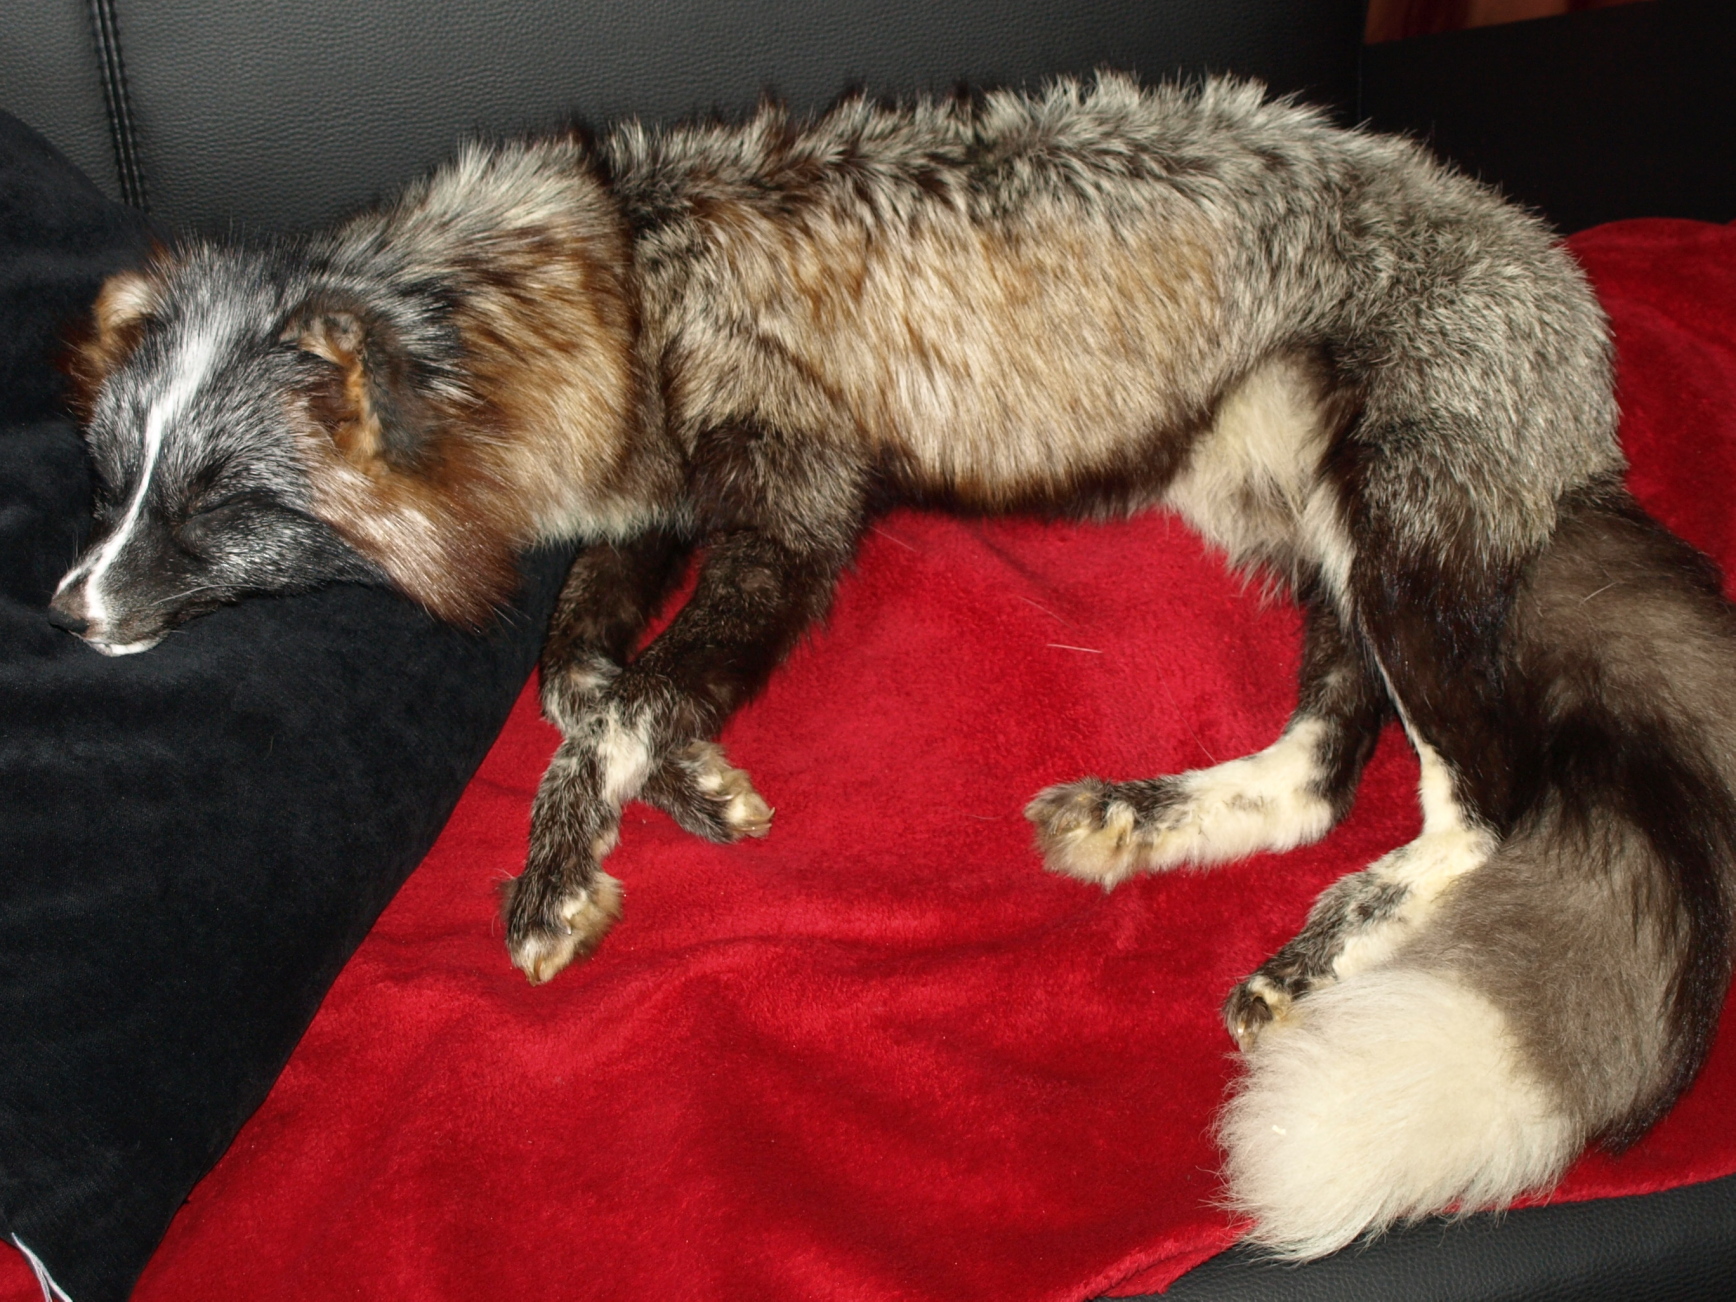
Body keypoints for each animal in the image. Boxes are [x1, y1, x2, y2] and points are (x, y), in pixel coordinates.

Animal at [46, 73, 1736, 1259]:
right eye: (115, 476)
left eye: (222, 503)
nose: (65, 610)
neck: (631, 282)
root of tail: (1574, 377)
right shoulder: (656, 514)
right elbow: (580, 682)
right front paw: (681, 799)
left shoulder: (795, 500)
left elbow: (628, 700)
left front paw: (576, 863)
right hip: (1285, 521)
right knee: (1327, 766)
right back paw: (1152, 822)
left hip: (1384, 539)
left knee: (1480, 800)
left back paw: (1325, 941)